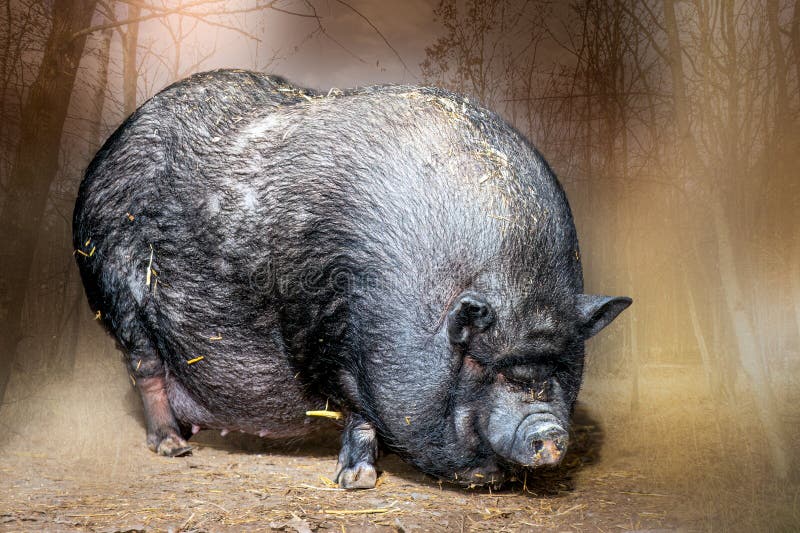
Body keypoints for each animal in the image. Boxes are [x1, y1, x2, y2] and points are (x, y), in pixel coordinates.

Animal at [73, 69, 631, 489]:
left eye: (562, 362)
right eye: (479, 361)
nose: (549, 431)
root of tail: (109, 144)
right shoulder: (331, 336)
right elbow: (359, 413)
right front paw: (357, 481)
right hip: (116, 292)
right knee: (146, 369)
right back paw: (173, 447)